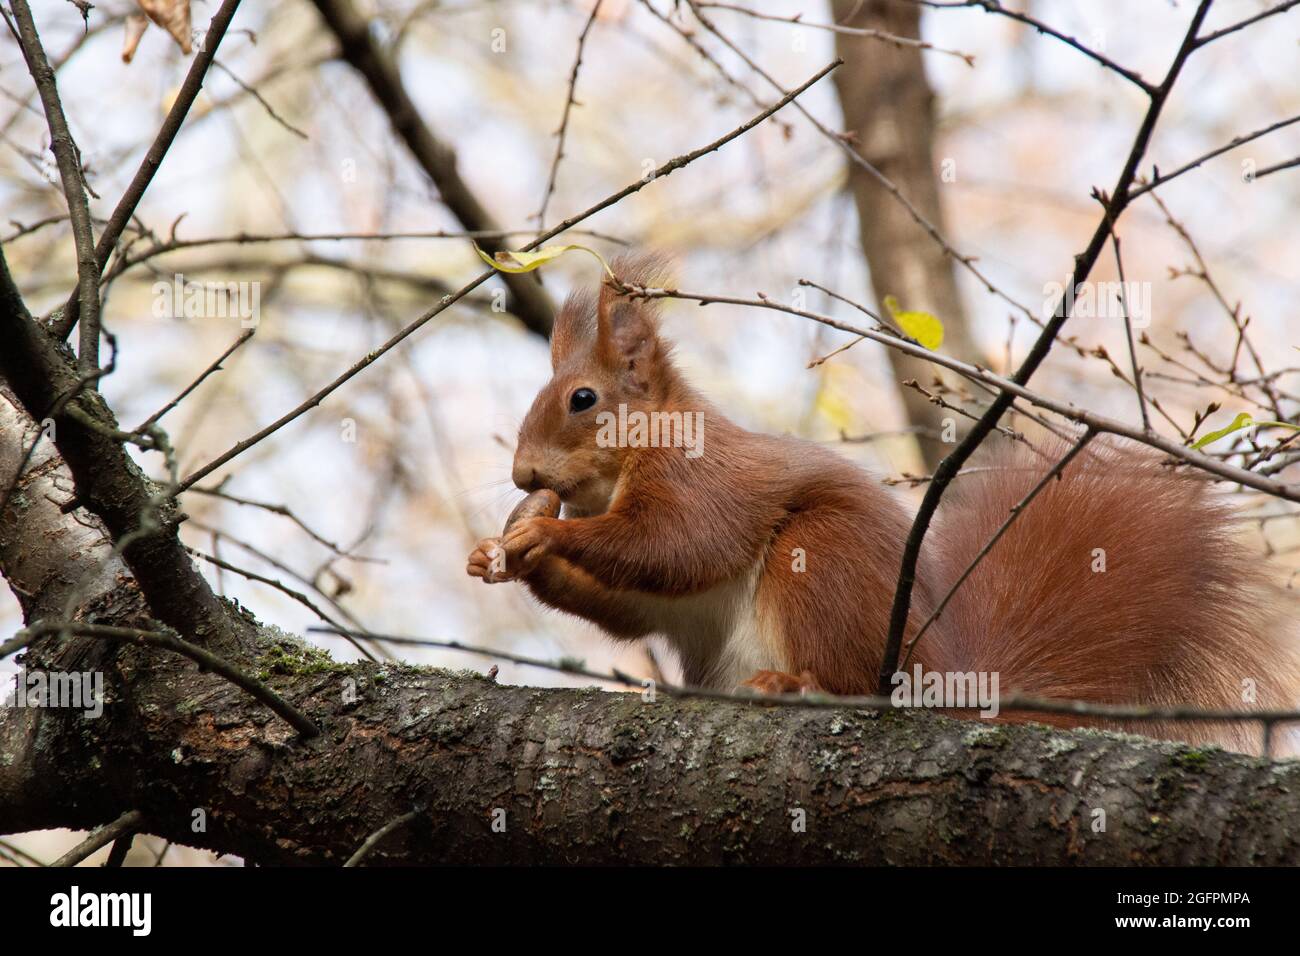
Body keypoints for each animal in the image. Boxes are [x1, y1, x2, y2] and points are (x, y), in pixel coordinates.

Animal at [467, 254, 1299, 753]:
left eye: (582, 399)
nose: (521, 474)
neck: (625, 469)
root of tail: (938, 679)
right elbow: (635, 606)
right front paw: (500, 555)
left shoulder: (700, 482)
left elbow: (674, 546)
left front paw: (544, 541)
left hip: (822, 568)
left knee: (850, 678)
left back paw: (798, 686)